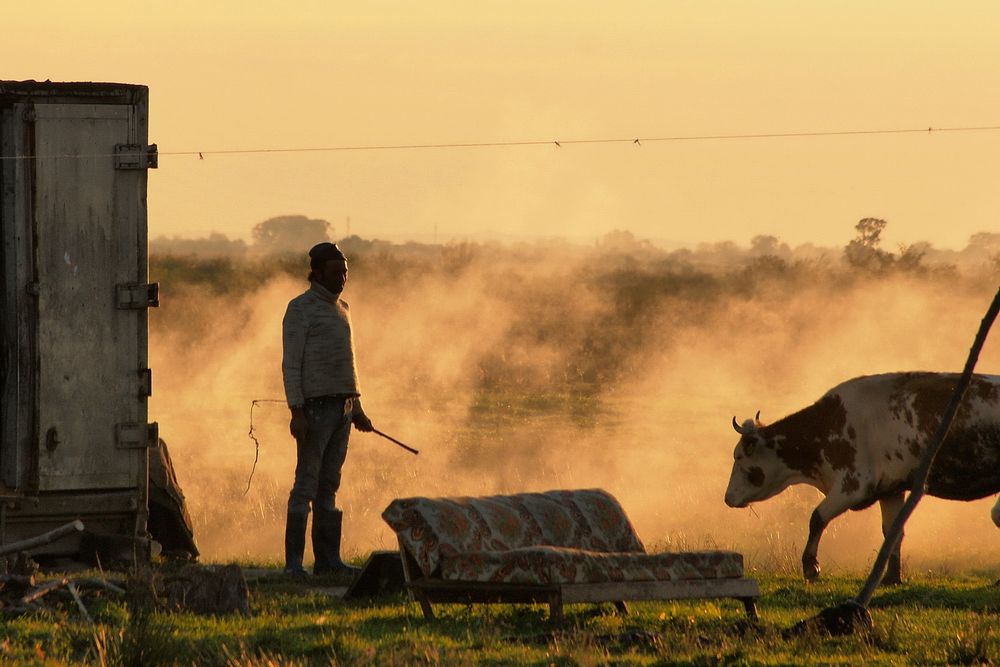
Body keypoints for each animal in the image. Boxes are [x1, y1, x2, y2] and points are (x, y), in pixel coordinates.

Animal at [724, 372, 1000, 585]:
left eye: (738, 456)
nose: (727, 498)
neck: (830, 424)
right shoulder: (890, 489)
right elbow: (892, 531)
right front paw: (891, 578)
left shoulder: (853, 485)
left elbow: (817, 518)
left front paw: (810, 567)